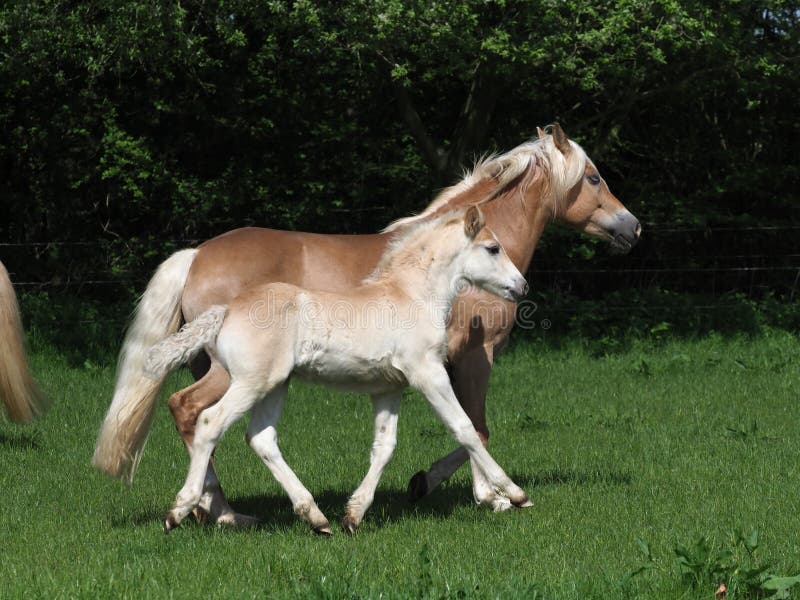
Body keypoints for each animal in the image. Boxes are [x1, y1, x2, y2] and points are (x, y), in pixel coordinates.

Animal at [145, 206, 530, 534]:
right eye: (493, 248)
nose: (522, 286)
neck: (411, 297)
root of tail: (226, 310)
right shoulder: (428, 374)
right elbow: (465, 428)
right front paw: (513, 494)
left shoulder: (388, 387)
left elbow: (384, 446)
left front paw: (353, 515)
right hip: (249, 383)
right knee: (210, 422)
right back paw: (180, 511)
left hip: (275, 385)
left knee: (261, 438)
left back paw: (316, 518)